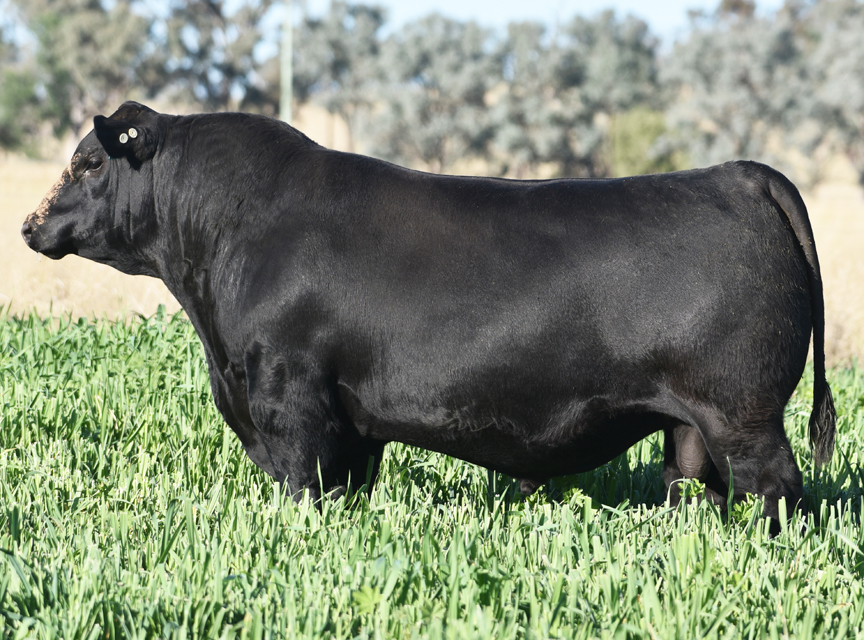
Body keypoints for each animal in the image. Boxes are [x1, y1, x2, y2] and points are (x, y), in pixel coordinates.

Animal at [22, 101, 836, 526]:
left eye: (89, 162)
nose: (29, 224)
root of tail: (740, 173)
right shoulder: (350, 423)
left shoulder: (289, 398)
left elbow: (303, 488)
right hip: (691, 425)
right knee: (694, 487)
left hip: (744, 416)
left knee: (778, 494)